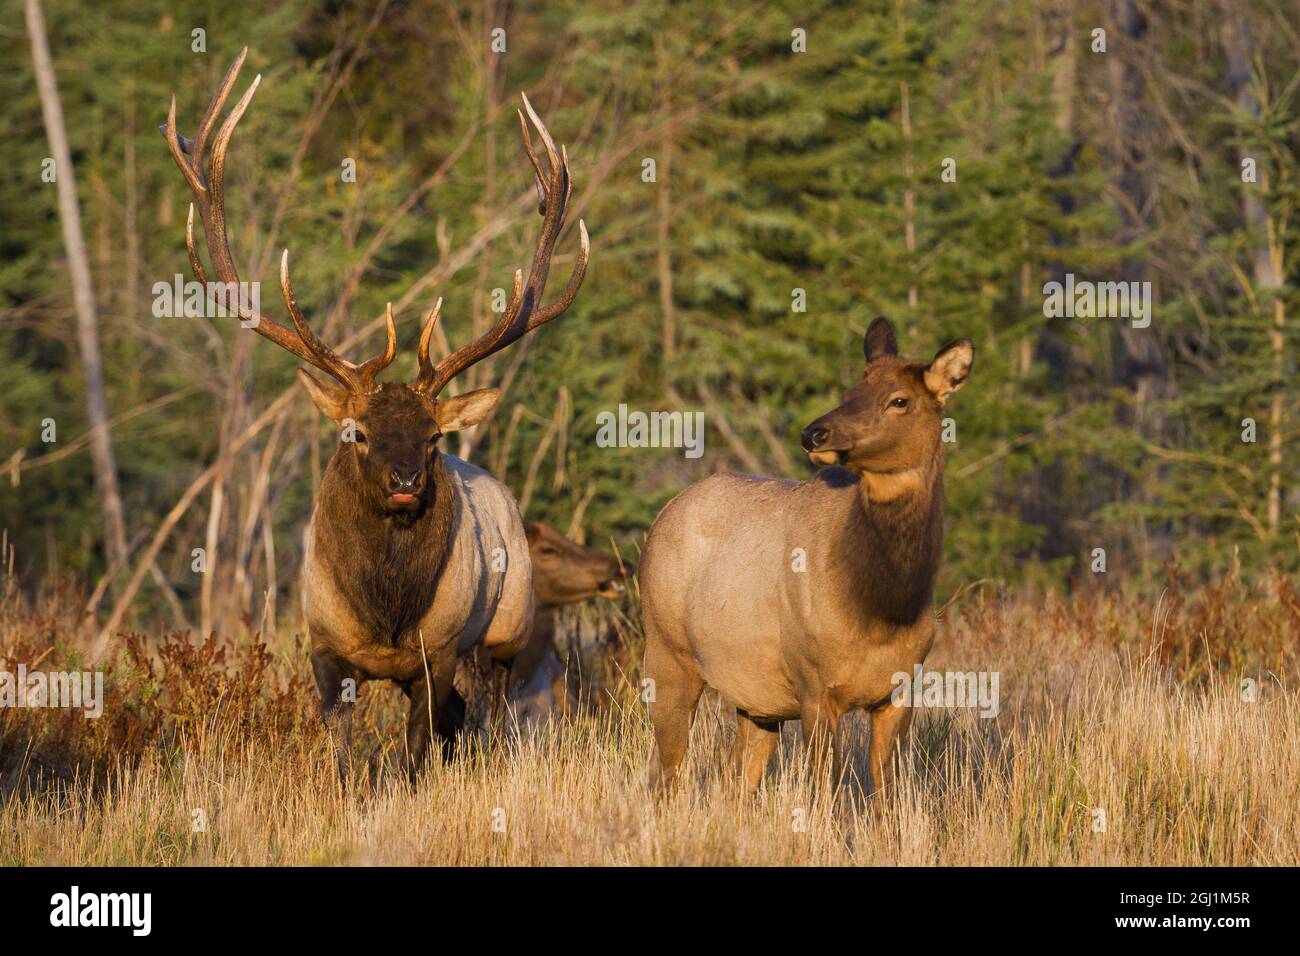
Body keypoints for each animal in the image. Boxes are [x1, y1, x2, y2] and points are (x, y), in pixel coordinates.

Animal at [161, 49, 589, 779]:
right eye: (356, 431)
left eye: (435, 435)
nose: (406, 482)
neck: (386, 614)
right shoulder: (324, 647)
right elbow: (339, 749)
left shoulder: (437, 652)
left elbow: (419, 749)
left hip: (508, 627)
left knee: (489, 712)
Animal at [639, 318, 973, 797]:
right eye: (850, 391)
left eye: (899, 400)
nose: (813, 433)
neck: (882, 609)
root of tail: (663, 514)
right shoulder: (814, 684)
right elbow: (825, 792)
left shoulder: (900, 689)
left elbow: (887, 794)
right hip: (667, 650)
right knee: (663, 771)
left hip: (756, 698)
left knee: (733, 779)